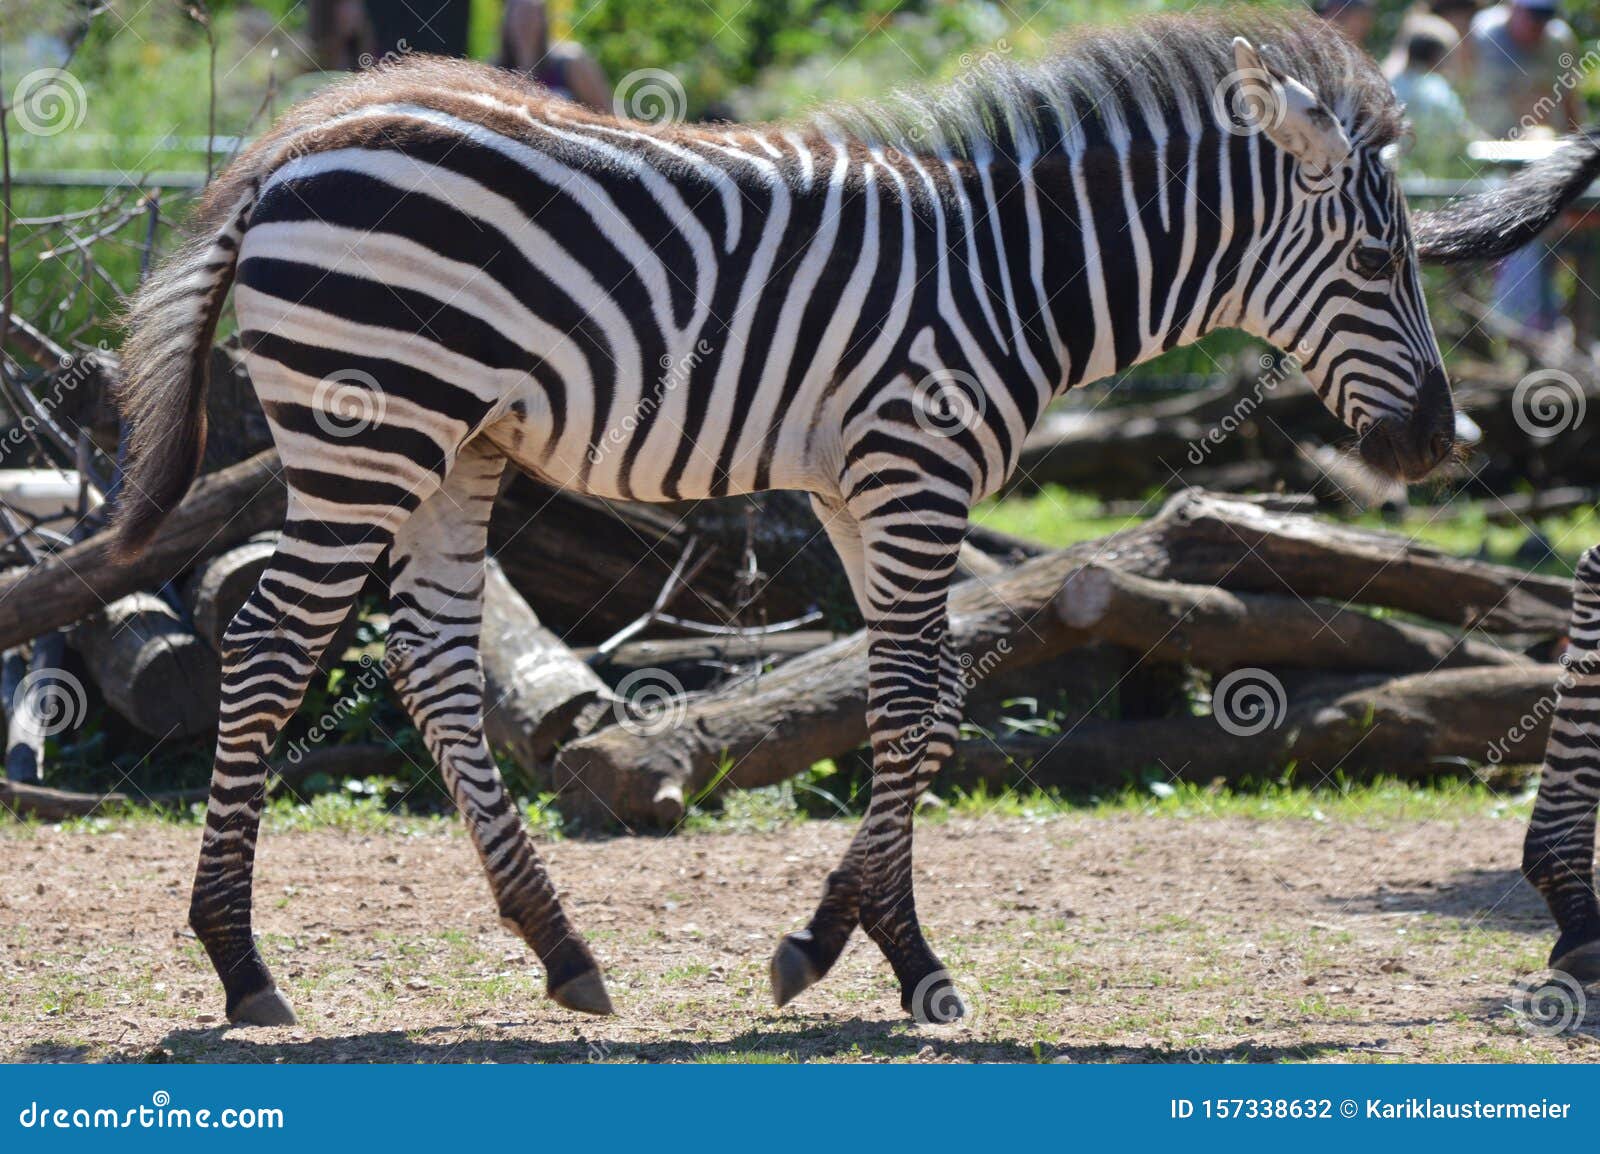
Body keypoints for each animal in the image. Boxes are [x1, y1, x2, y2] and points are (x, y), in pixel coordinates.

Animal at [109, 11, 1591, 1027]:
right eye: (1381, 259)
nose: (1440, 444)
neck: (1013, 275)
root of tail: (305, 138)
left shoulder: (860, 488)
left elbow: (914, 698)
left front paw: (829, 940)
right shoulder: (914, 473)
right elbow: (917, 694)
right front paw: (907, 957)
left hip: (452, 446)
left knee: (429, 663)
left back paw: (561, 948)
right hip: (369, 427)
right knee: (270, 647)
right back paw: (241, 962)